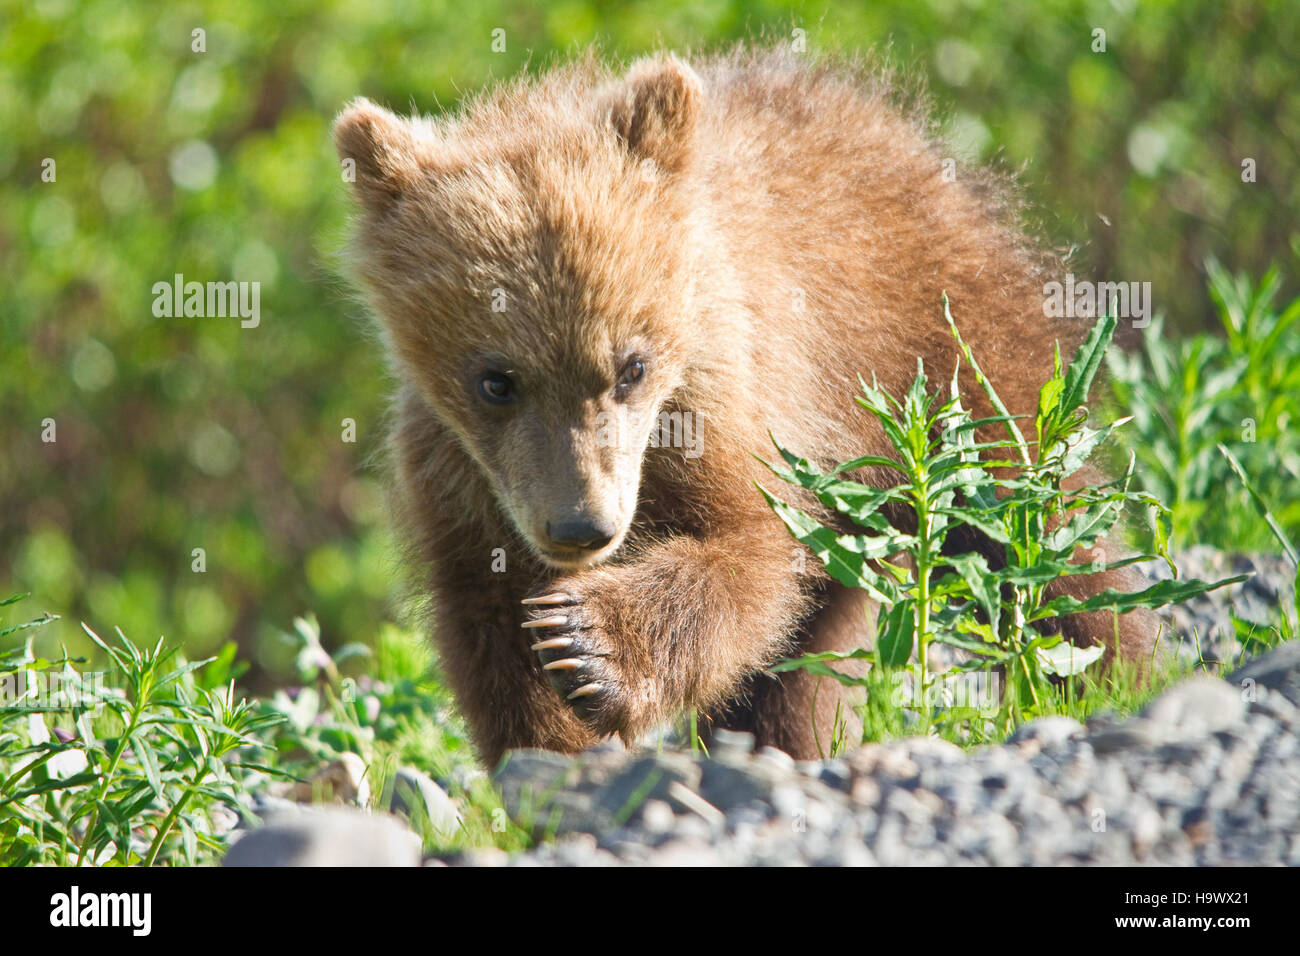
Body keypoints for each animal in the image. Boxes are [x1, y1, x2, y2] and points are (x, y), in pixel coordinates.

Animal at [332, 47, 1154, 767]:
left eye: (631, 367)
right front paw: (554, 744)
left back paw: (1109, 672)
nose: (581, 524)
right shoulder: (460, 476)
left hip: (941, 346)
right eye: (495, 380)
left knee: (1031, 512)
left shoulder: (732, 399)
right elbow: (491, 625)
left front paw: (589, 644)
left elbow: (749, 552)